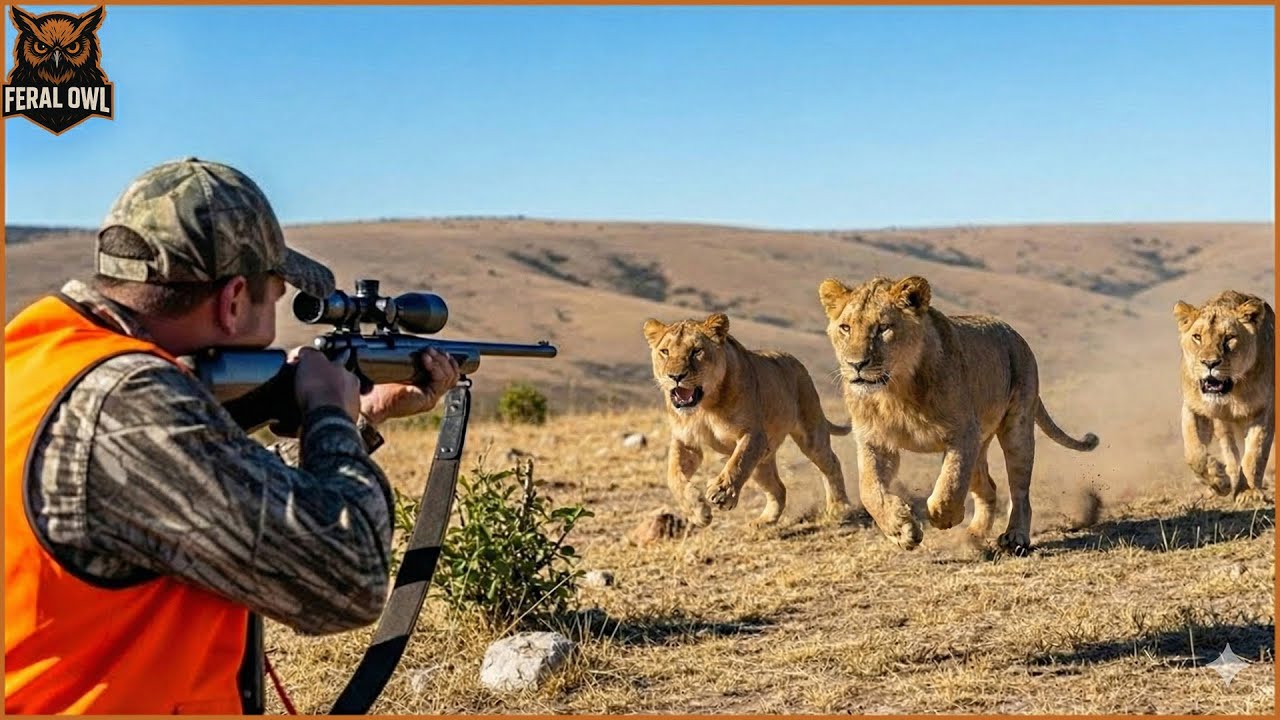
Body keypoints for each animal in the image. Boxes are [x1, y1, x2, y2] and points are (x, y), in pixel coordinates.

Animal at [642, 312, 854, 527]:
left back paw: (840, 508)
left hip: (811, 435)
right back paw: (765, 520)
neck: (705, 406)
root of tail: (796, 362)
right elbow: (673, 476)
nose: (675, 376)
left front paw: (722, 493)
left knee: (831, 463)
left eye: (696, 351)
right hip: (762, 462)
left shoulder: (753, 434)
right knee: (779, 489)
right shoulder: (686, 441)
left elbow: (738, 461)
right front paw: (697, 511)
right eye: (665, 352)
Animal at [818, 275, 1099, 555]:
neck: (896, 393)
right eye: (845, 328)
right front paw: (901, 529)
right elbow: (869, 490)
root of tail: (1017, 336)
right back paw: (973, 535)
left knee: (1019, 488)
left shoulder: (963, 434)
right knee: (989, 488)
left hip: (1016, 427)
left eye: (883, 327)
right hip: (980, 444)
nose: (856, 364)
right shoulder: (874, 441)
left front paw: (943, 517)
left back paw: (1015, 535)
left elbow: (950, 483)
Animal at [1173, 290, 1275, 504]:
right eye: (1197, 337)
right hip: (1222, 425)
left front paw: (1248, 493)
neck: (1232, 393)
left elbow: (1255, 453)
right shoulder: (1194, 407)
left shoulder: (1264, 408)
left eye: (1229, 338)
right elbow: (1194, 453)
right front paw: (1219, 480)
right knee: (1230, 450)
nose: (1210, 363)